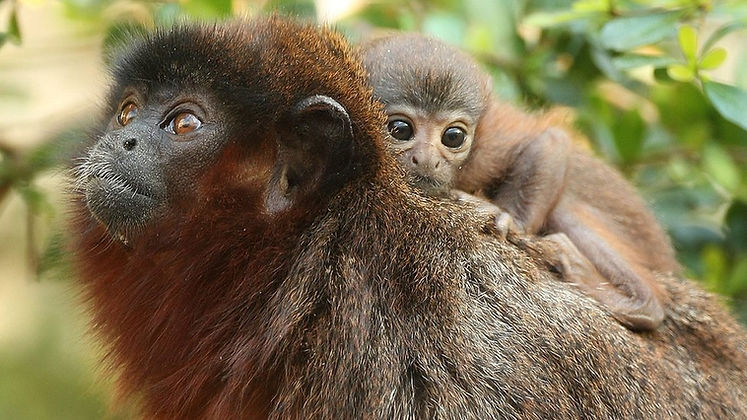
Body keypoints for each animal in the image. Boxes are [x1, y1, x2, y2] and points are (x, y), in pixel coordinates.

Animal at [360, 33, 681, 332]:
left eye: (453, 136)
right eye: (400, 130)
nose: (426, 159)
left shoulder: (488, 147)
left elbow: (550, 143)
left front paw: (507, 218)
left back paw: (638, 302)